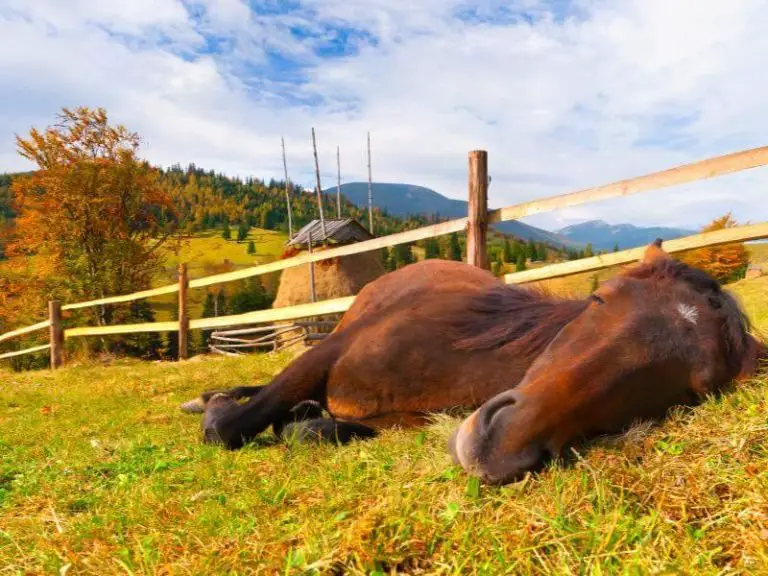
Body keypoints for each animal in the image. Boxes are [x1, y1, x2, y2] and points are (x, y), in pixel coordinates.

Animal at [181, 240, 765, 485]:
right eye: (601, 300)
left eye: (693, 389)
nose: (495, 447)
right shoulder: (325, 355)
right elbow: (229, 428)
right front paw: (218, 408)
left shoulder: (395, 422)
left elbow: (310, 432)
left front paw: (301, 422)